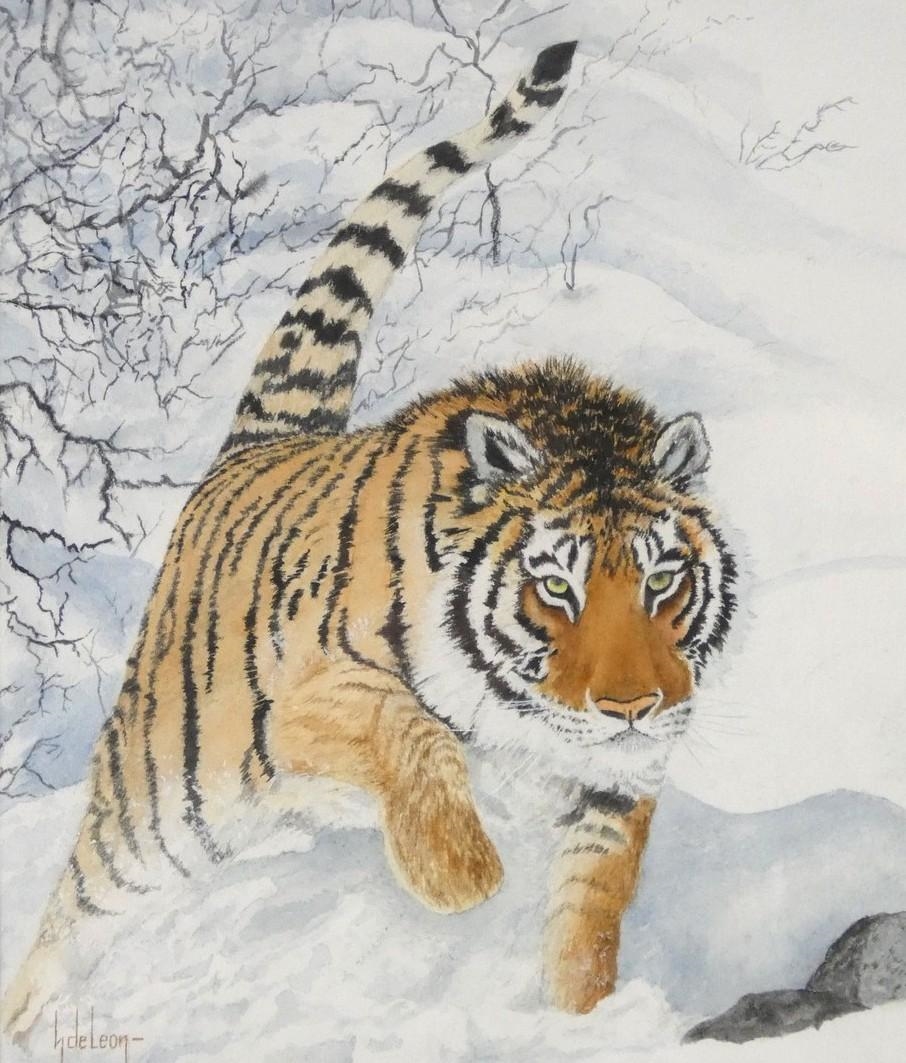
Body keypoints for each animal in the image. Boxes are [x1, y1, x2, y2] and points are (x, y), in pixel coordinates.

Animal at [3, 38, 736, 1039]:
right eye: (557, 586)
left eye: (663, 581)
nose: (632, 707)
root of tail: (263, 441)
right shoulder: (310, 697)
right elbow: (409, 727)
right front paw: (464, 878)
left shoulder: (613, 784)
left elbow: (590, 912)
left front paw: (582, 1018)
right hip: (150, 818)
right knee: (65, 924)